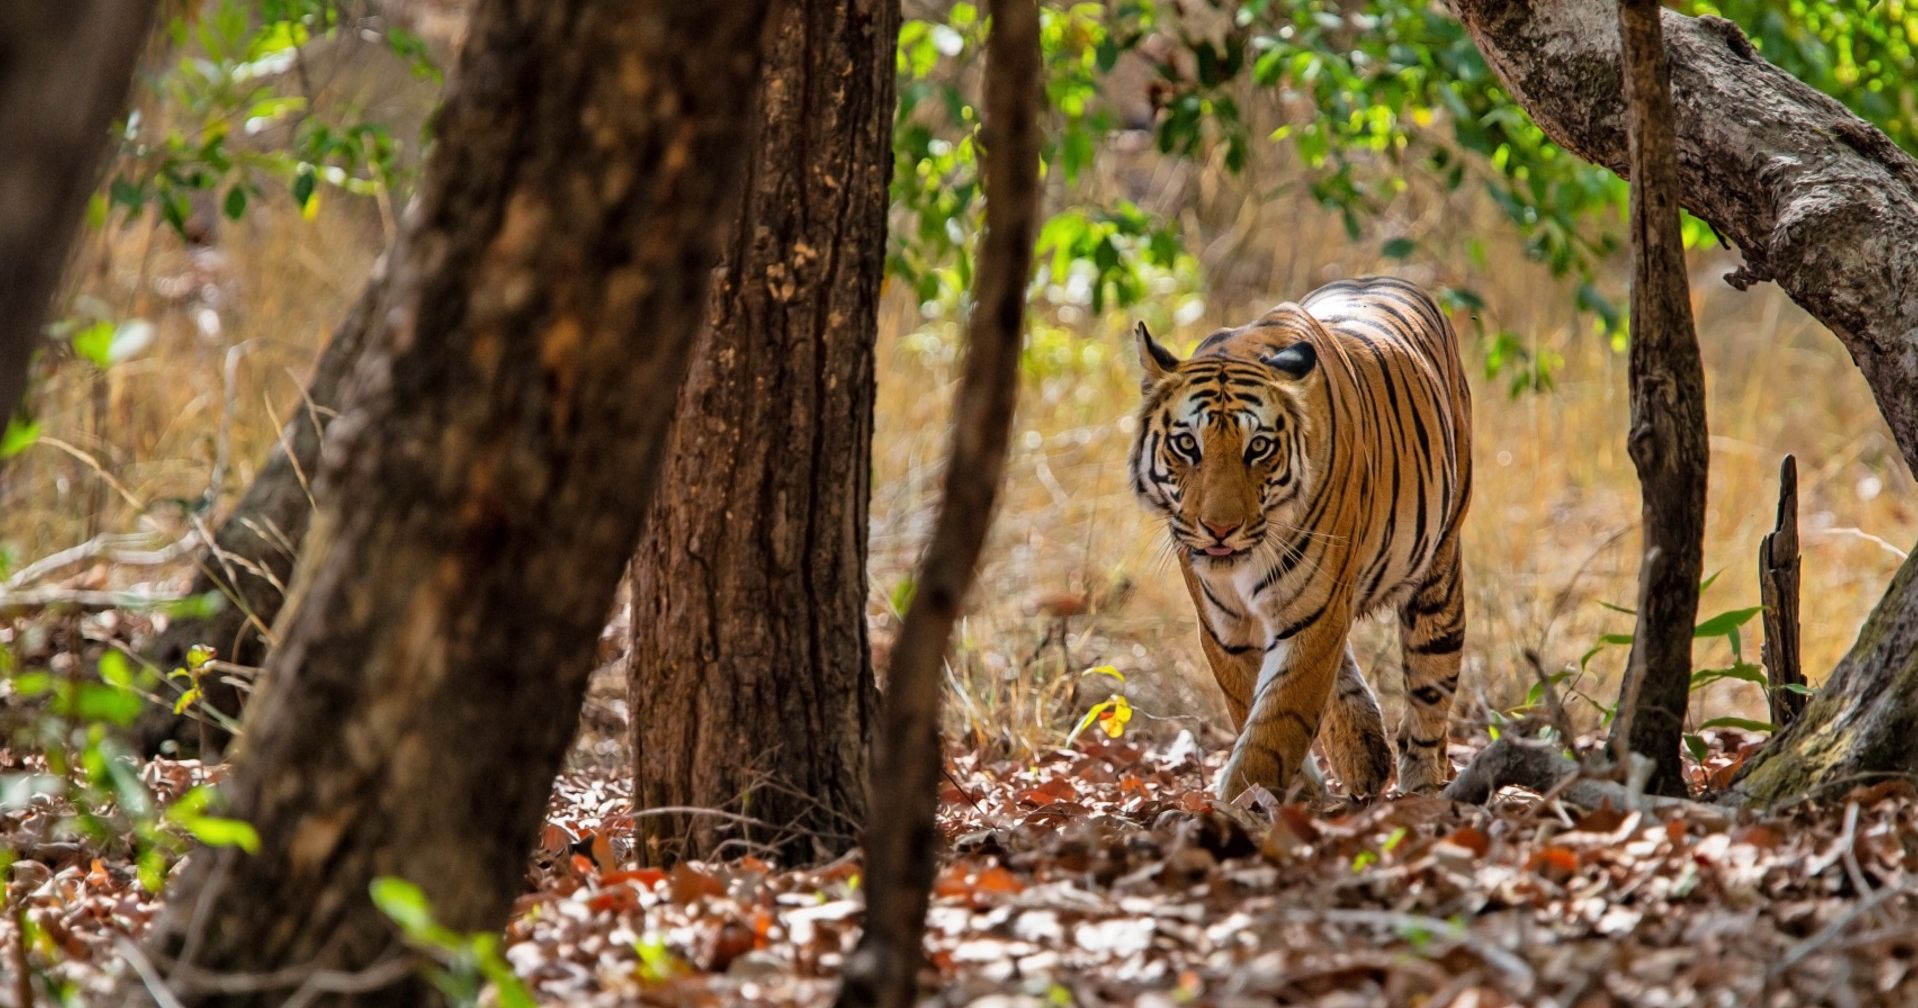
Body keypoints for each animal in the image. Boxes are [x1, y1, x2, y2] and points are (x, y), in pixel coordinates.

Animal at [1128, 276, 1473, 801]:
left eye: (1259, 448)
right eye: (1187, 444)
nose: (1220, 529)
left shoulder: (1315, 612)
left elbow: (1278, 720)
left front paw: (1244, 797)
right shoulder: (1227, 629)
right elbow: (1256, 707)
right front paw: (1290, 792)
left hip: (1437, 574)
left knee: (1430, 687)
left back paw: (1420, 785)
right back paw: (1364, 754)